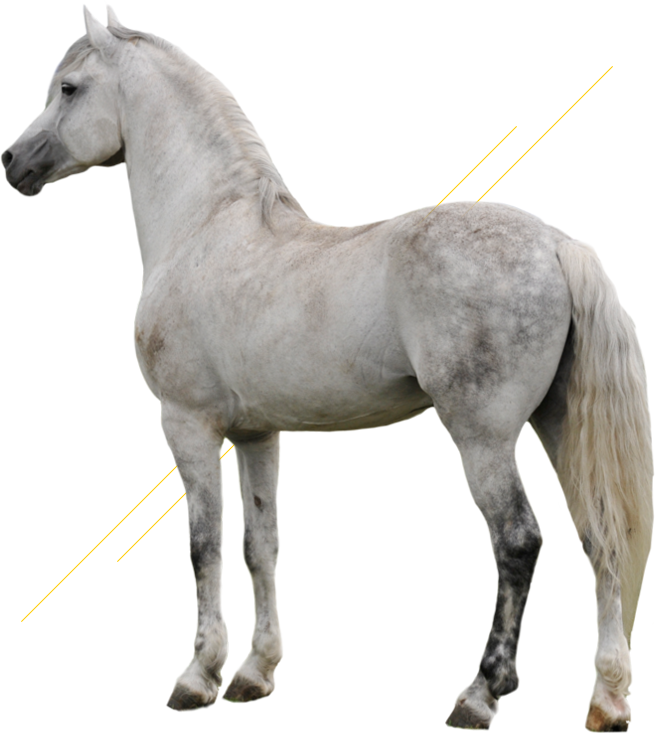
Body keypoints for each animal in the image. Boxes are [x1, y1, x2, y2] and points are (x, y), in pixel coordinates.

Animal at [6, 6, 651, 730]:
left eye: (69, 89)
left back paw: (483, 692)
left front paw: (200, 676)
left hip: (482, 435)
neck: (205, 227)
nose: (11, 160)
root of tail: (557, 244)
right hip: (559, 424)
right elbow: (259, 544)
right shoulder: (255, 433)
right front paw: (254, 673)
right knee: (602, 537)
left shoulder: (189, 424)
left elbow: (203, 545)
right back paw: (605, 697)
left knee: (517, 542)